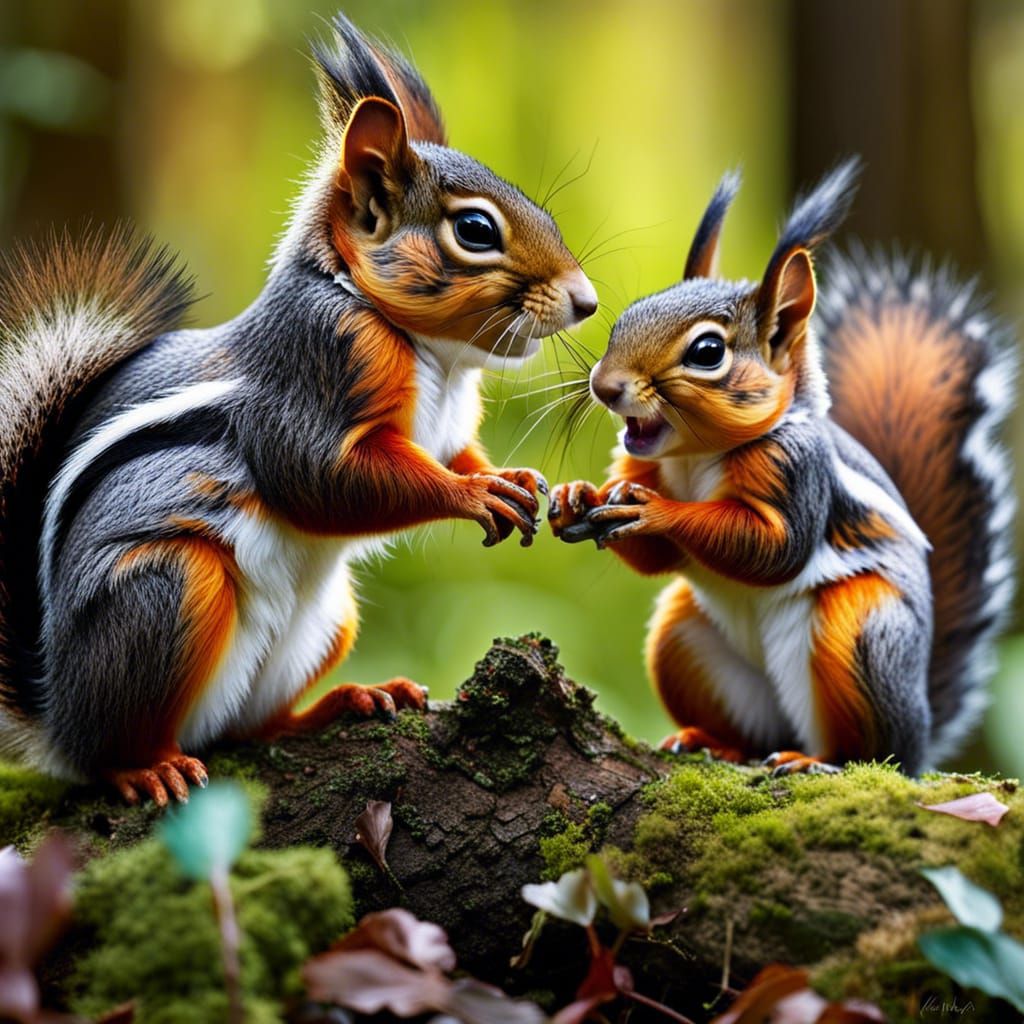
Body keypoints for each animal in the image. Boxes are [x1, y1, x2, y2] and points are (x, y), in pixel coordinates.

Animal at [0, 13, 597, 805]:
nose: (588, 300)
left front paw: (514, 478)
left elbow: (448, 455)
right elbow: (320, 477)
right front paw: (474, 494)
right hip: (166, 593)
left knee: (251, 729)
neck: (436, 357)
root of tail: (55, 720)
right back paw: (144, 766)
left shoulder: (440, 430)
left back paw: (350, 701)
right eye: (475, 230)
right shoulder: (316, 371)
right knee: (114, 750)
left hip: (328, 620)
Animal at [549, 161, 1015, 775]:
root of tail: (922, 737)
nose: (605, 386)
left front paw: (655, 511)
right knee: (751, 731)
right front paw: (576, 496)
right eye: (624, 317)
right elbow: (658, 559)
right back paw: (714, 741)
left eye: (707, 352)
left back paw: (820, 761)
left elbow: (776, 547)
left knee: (872, 752)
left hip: (862, 633)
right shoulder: (639, 463)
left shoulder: (798, 470)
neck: (695, 458)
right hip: (682, 639)